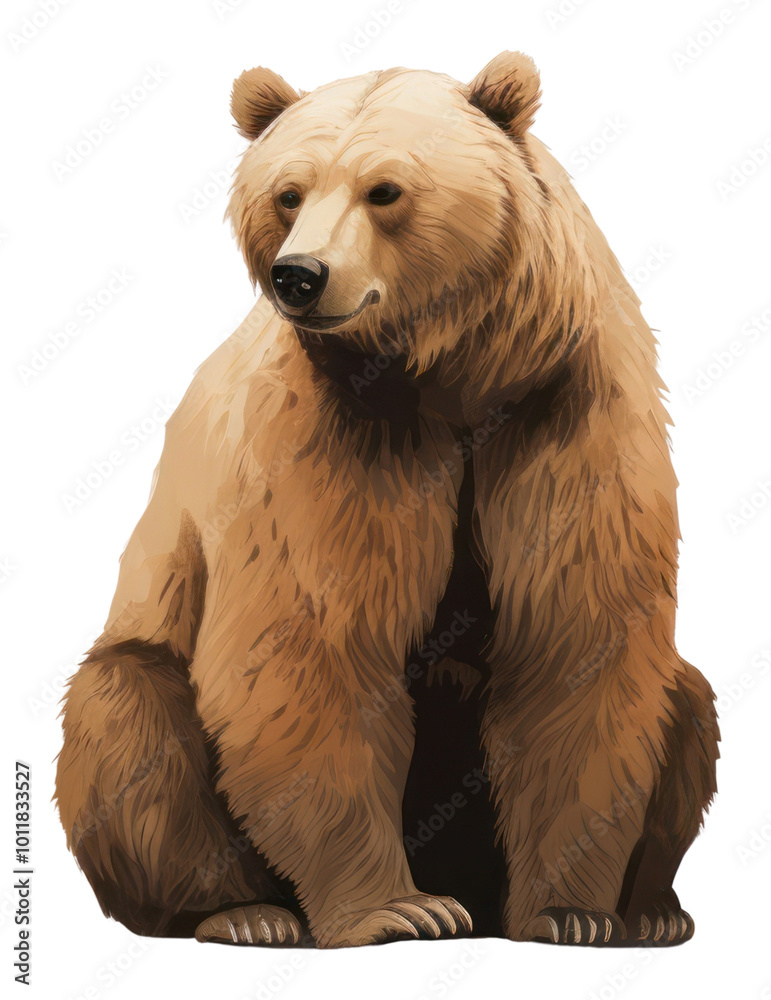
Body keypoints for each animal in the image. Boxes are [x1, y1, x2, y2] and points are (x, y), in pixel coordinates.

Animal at [55, 51, 719, 949]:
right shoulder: (331, 442)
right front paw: (397, 909)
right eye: (288, 192)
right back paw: (244, 911)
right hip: (144, 668)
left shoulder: (563, 416)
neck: (453, 382)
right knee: (127, 713)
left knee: (688, 701)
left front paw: (570, 911)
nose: (298, 276)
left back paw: (651, 909)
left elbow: (575, 650)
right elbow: (310, 651)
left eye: (385, 189)